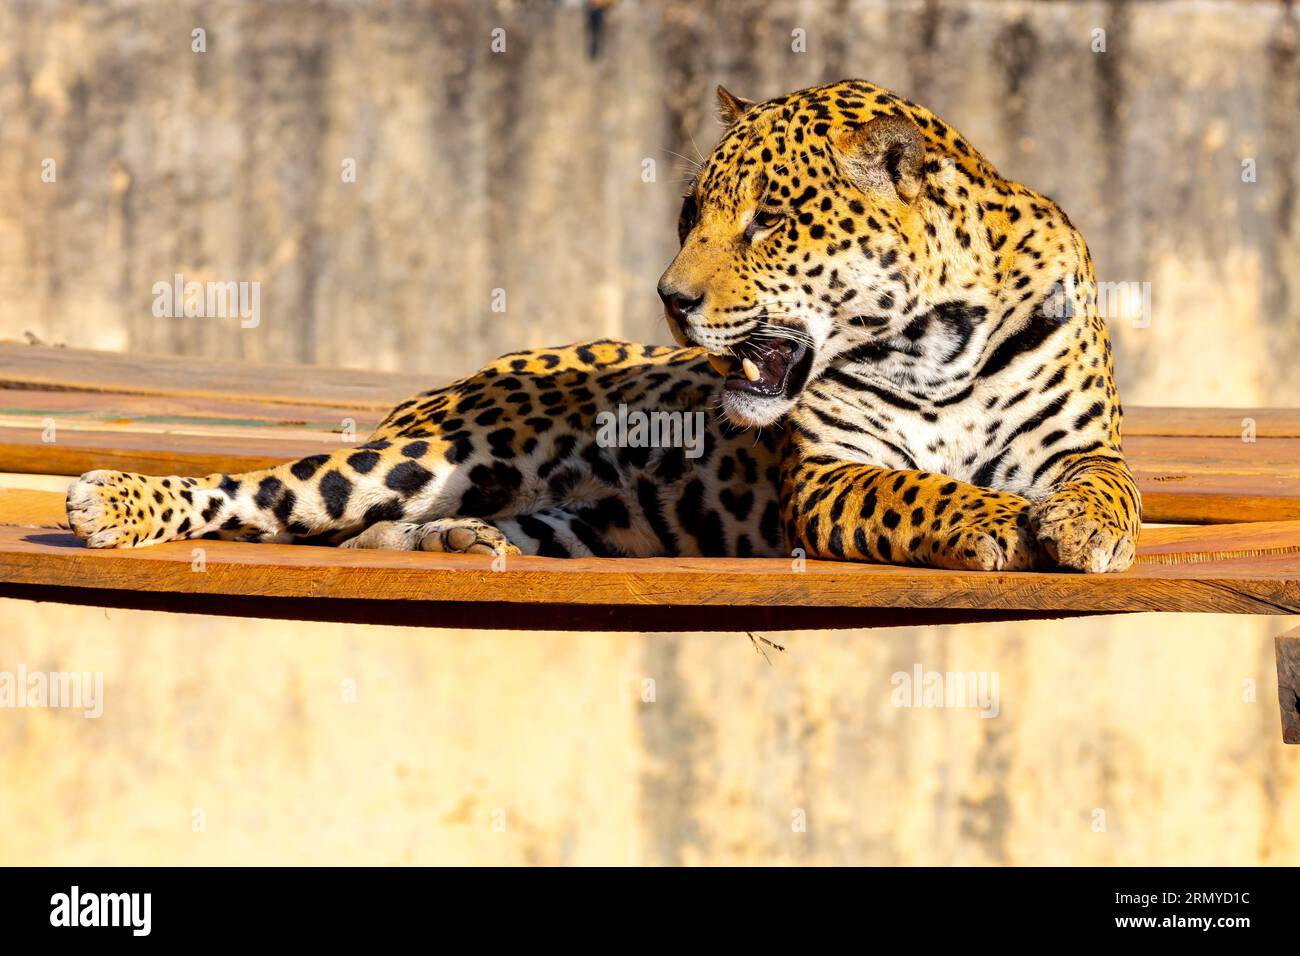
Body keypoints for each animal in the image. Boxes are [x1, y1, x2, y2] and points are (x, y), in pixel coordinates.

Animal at [66, 79, 1140, 573]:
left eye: (769, 220)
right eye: (690, 214)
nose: (671, 298)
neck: (934, 342)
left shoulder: (1082, 446)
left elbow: (1109, 487)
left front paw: (1079, 527)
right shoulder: (832, 475)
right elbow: (919, 490)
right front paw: (995, 522)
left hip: (581, 518)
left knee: (372, 536)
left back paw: (455, 541)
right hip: (436, 450)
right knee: (261, 492)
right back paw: (114, 501)